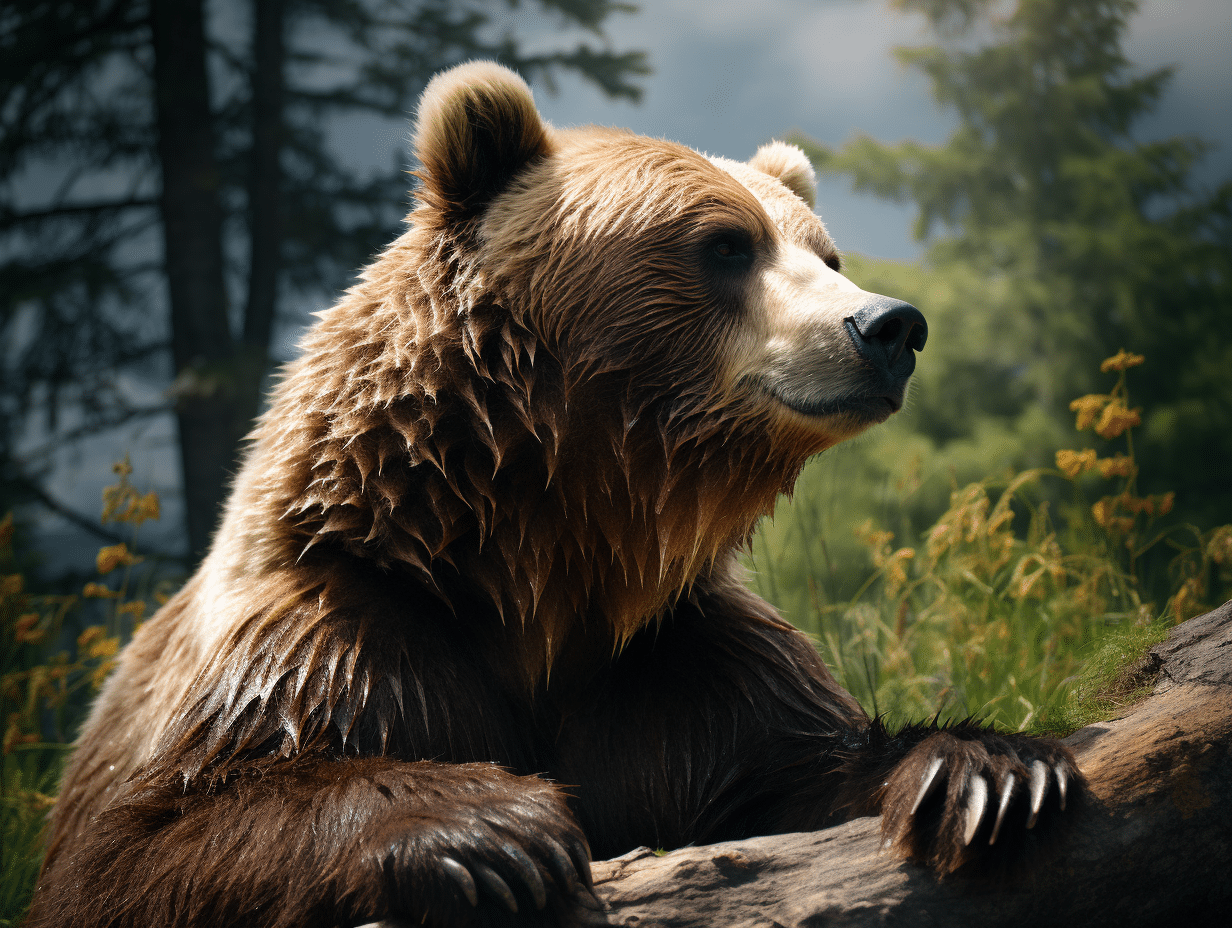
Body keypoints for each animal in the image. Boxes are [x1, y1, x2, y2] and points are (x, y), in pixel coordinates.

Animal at [29, 62, 1082, 927]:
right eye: (726, 245)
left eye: (824, 253)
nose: (888, 326)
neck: (542, 554)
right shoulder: (340, 628)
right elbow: (145, 841)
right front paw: (494, 829)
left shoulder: (672, 662)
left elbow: (801, 768)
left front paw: (989, 776)